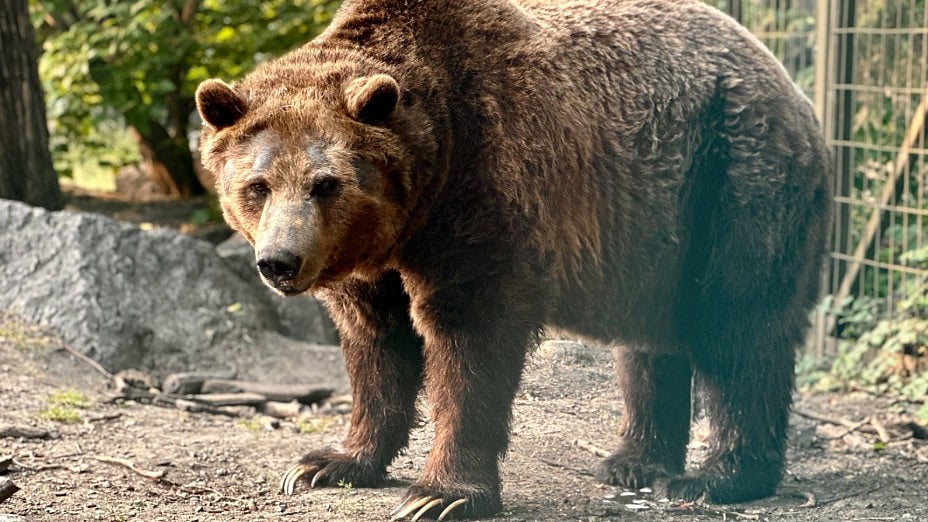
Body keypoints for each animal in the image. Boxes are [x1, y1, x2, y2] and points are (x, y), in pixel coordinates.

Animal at [195, 0, 832, 519]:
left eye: (325, 184)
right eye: (257, 185)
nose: (279, 261)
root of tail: (794, 90)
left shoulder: (487, 186)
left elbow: (471, 339)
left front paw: (440, 495)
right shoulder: (374, 264)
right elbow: (377, 347)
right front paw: (329, 463)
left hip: (733, 175)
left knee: (738, 325)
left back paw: (715, 478)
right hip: (653, 230)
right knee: (651, 340)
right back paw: (632, 461)